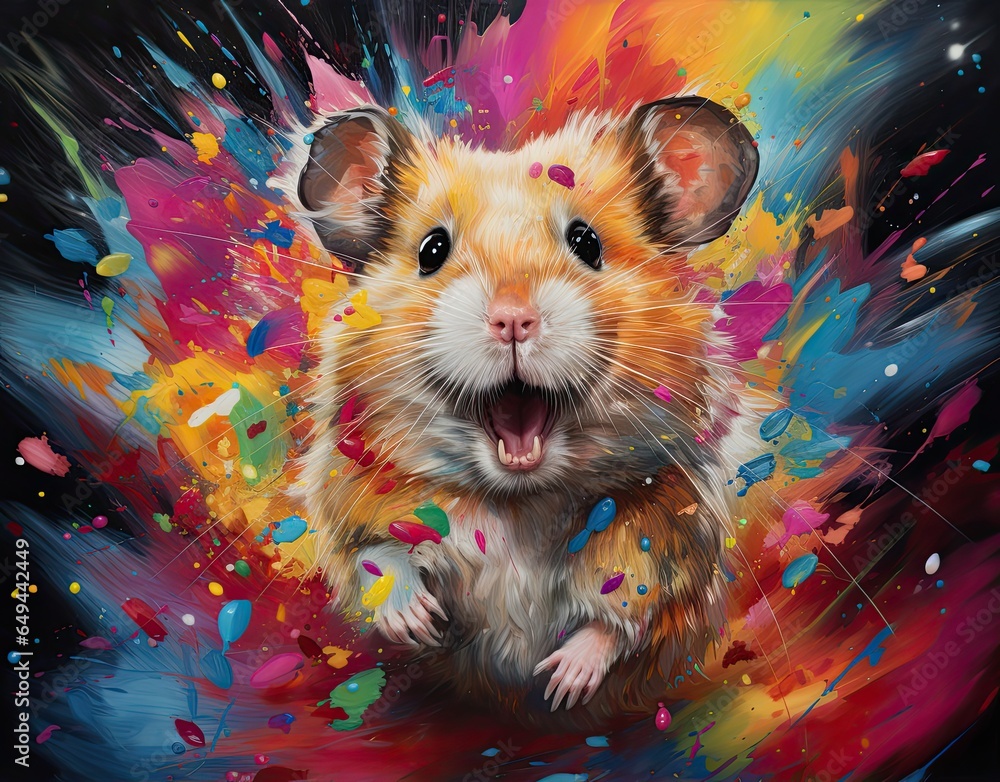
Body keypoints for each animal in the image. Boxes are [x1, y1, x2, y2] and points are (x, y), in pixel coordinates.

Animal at [292, 96, 760, 726]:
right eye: (431, 250)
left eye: (587, 242)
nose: (512, 319)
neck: (518, 503)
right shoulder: (350, 500)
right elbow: (375, 556)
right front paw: (417, 621)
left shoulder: (670, 539)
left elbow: (625, 617)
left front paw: (561, 681)